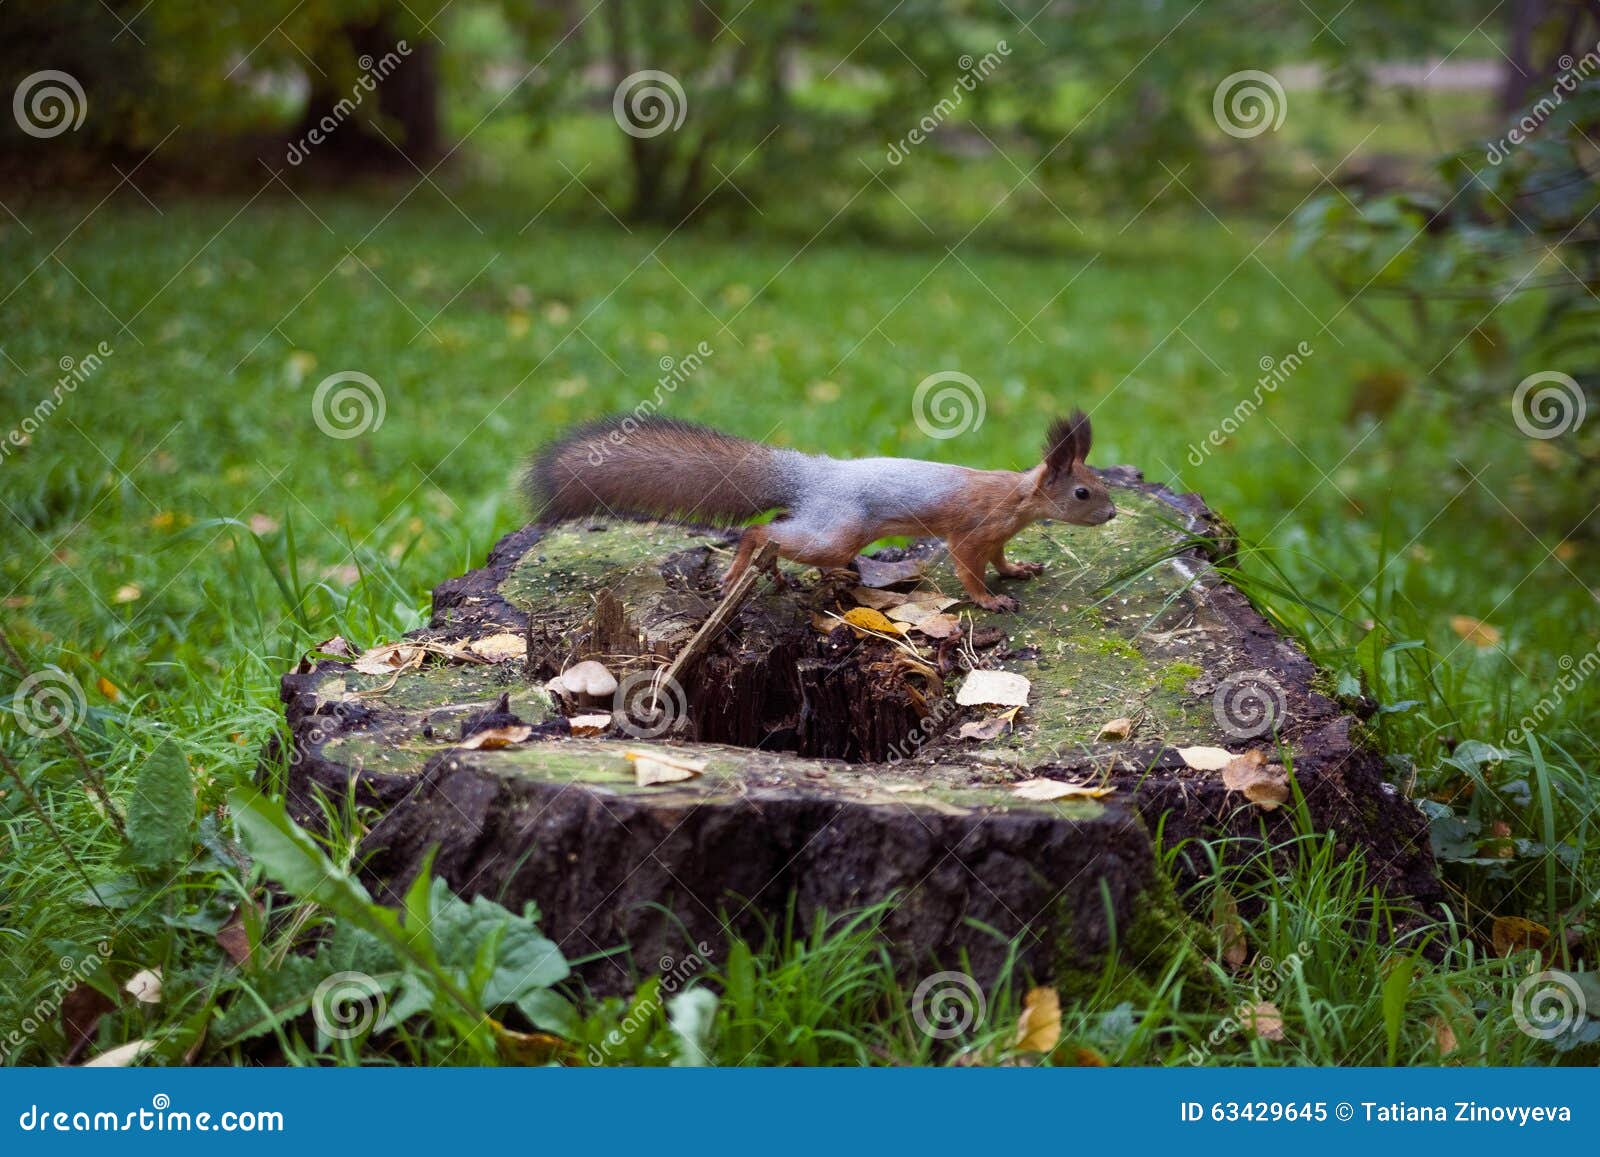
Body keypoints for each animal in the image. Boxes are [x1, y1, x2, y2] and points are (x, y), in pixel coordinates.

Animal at [524, 411, 1115, 612]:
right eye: (1083, 494)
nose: (1111, 515)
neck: (1017, 498)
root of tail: (812, 476)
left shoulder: (996, 536)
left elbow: (998, 559)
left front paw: (1018, 571)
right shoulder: (973, 529)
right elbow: (969, 566)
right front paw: (989, 600)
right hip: (839, 531)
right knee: (761, 530)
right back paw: (743, 570)